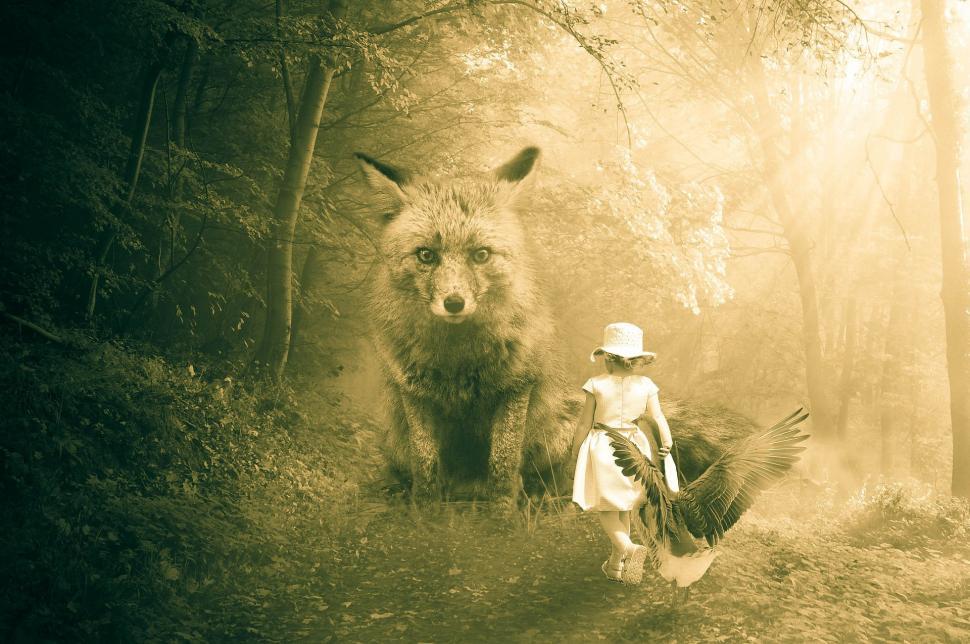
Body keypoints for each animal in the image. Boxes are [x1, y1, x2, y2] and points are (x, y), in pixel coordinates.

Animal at [354, 147, 577, 501]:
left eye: (481, 255)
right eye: (426, 255)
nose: (454, 303)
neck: (456, 361)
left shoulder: (518, 384)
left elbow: (503, 463)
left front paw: (503, 512)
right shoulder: (413, 390)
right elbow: (425, 464)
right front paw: (424, 510)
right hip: (393, 436)